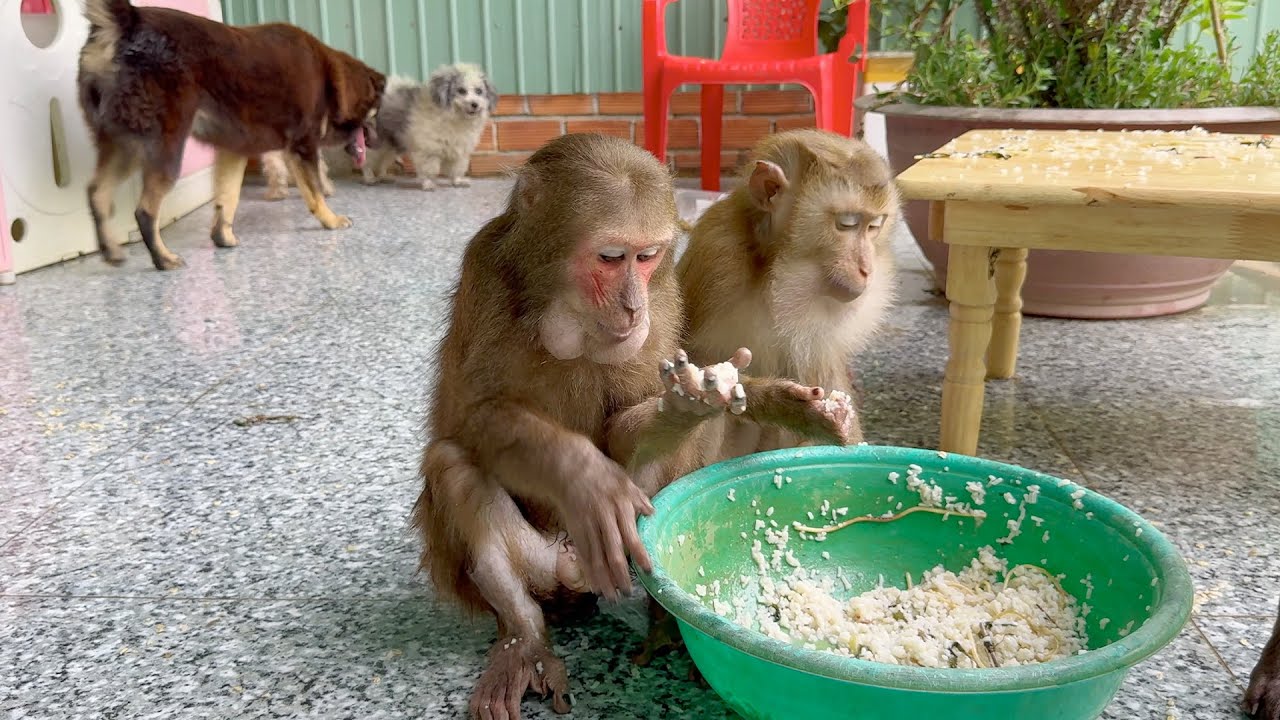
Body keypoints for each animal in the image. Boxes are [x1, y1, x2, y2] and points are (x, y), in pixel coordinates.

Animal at [411, 133, 859, 720]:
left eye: (647, 258)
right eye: (609, 258)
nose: (631, 305)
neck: (565, 307)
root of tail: (570, 569)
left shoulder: (665, 300)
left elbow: (631, 423)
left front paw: (694, 407)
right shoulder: (481, 271)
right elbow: (476, 414)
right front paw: (584, 476)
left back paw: (665, 618)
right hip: (536, 568)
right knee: (452, 464)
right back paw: (524, 636)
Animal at [676, 128, 902, 459]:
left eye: (873, 227)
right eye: (846, 224)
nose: (866, 268)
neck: (772, 272)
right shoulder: (718, 258)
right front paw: (785, 404)